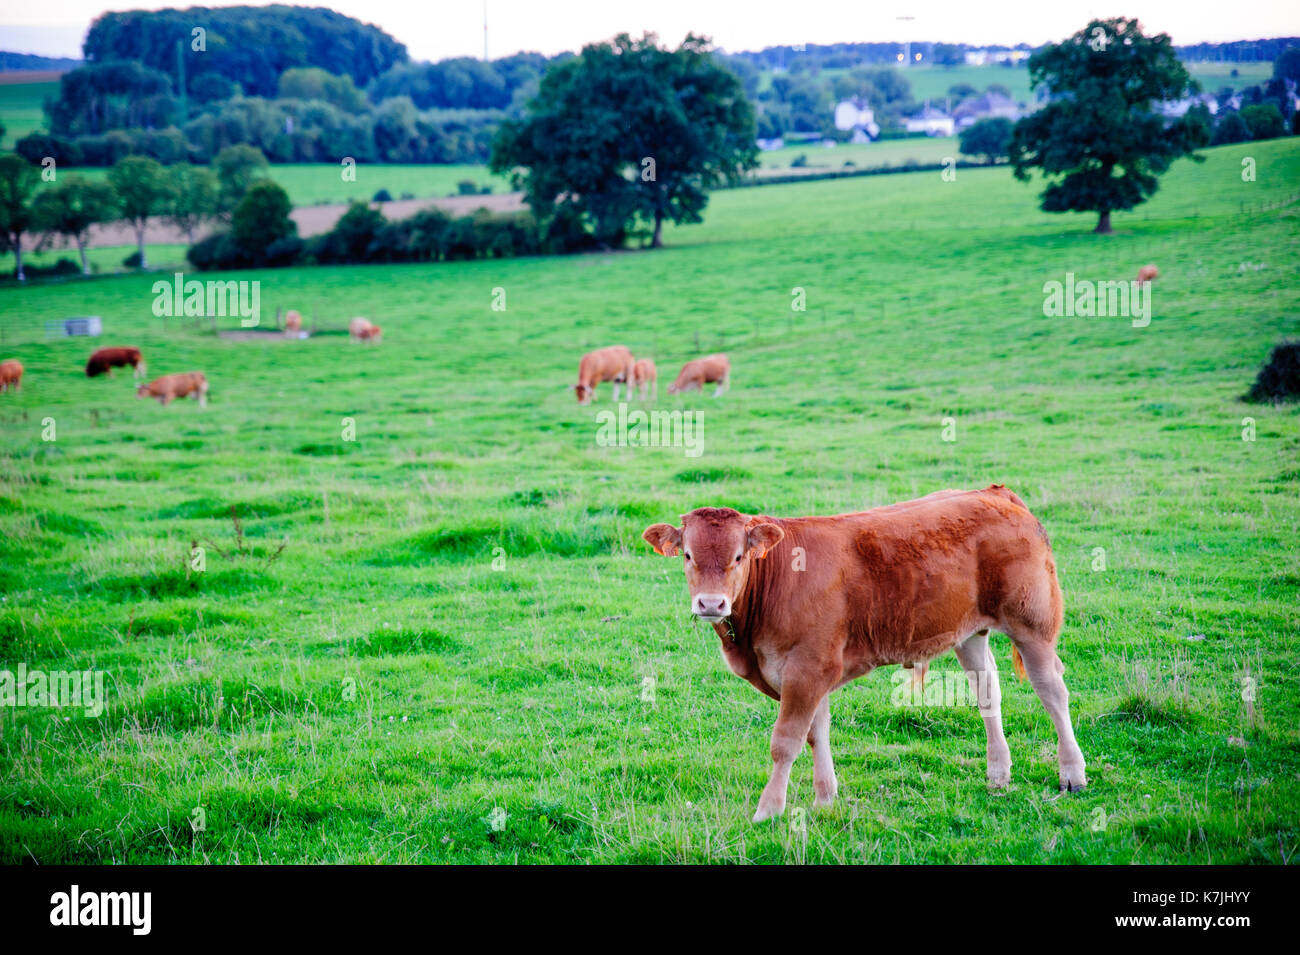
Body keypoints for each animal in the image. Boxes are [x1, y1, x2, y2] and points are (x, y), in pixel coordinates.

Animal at [642, 485, 1086, 823]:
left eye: (738, 556)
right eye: (688, 556)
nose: (711, 604)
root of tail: (995, 493)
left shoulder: (807, 667)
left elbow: (786, 740)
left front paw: (768, 811)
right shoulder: (813, 669)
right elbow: (816, 733)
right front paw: (825, 799)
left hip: (1032, 624)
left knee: (1052, 692)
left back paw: (1072, 774)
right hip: (970, 633)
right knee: (987, 692)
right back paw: (998, 774)